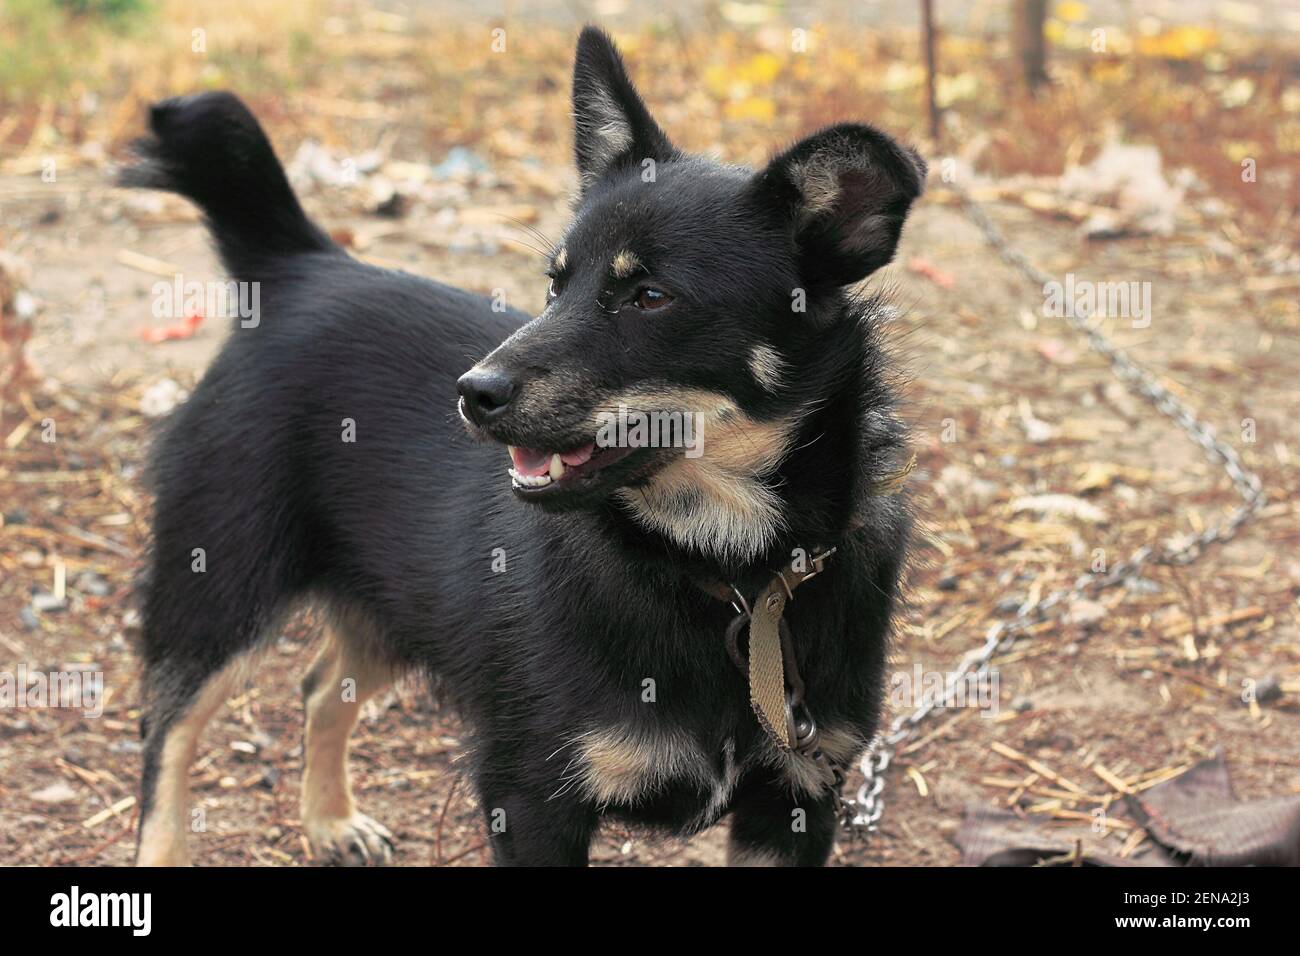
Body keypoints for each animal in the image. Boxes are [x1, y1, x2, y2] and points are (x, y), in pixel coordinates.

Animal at [126, 27, 925, 868]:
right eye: (554, 284)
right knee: (166, 740)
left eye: (650, 296)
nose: (472, 392)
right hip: (218, 592)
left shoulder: (797, 798)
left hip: (392, 599)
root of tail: (300, 265)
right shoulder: (530, 794)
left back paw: (331, 820)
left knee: (319, 687)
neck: (721, 566)